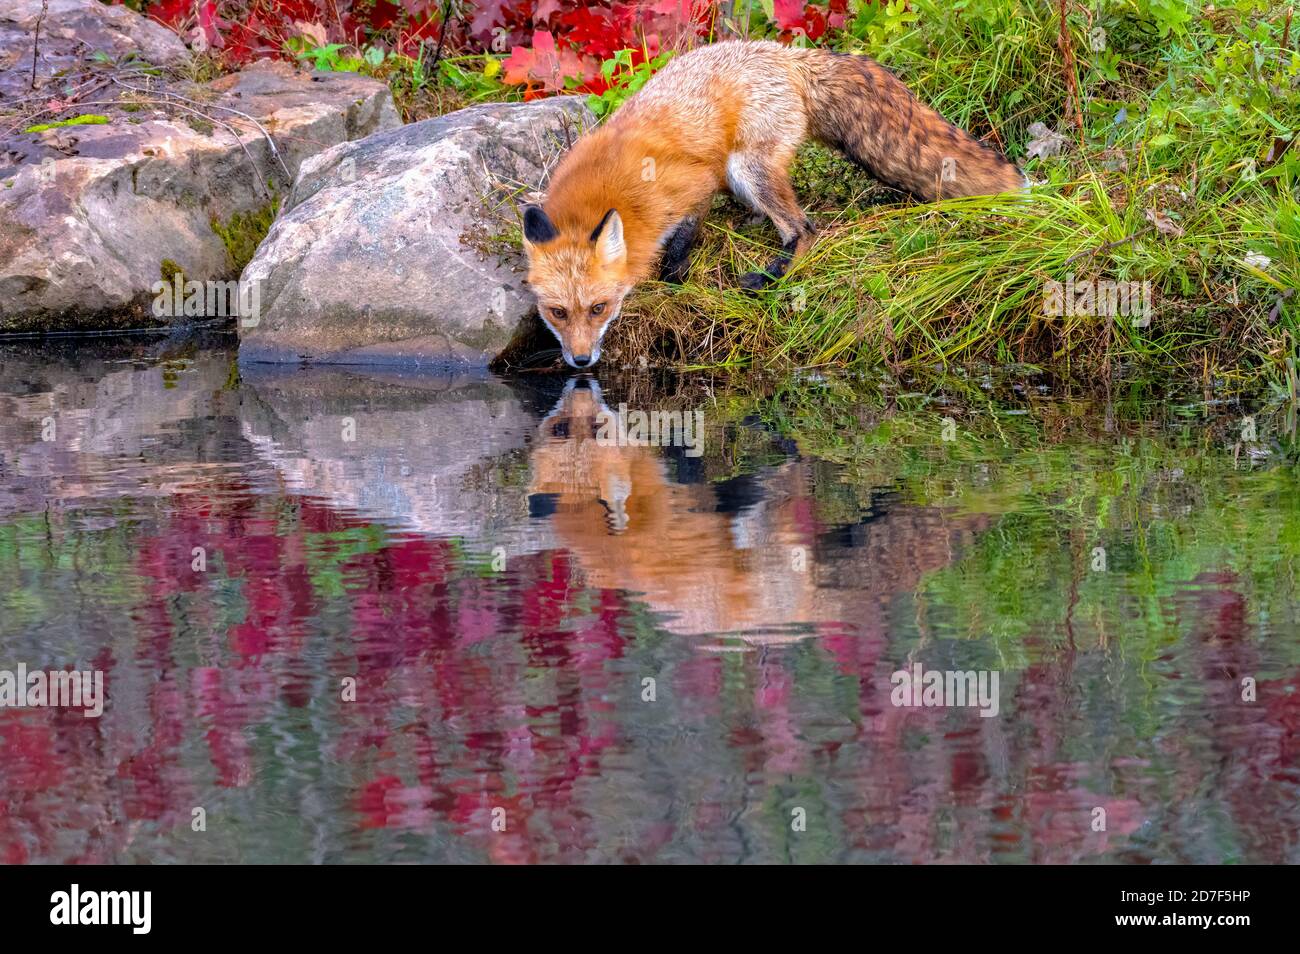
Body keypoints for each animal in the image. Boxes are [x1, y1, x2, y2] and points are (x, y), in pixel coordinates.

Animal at [521, 38, 1027, 369]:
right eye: (557, 312)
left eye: (599, 308)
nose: (580, 361)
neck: (608, 192)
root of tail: (788, 54)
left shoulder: (697, 186)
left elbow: (681, 243)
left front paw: (673, 280)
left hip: (747, 169)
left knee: (803, 229)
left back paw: (769, 277)